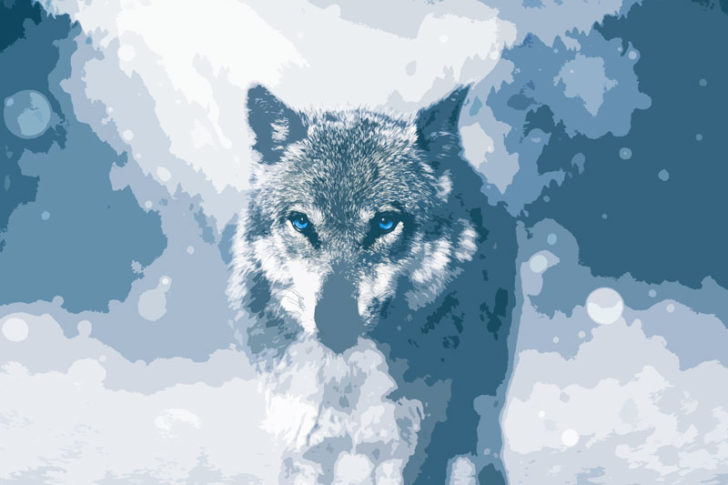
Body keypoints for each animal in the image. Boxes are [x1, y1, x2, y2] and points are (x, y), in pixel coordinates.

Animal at [228, 84, 518, 484]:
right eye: (301, 222)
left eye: (385, 223)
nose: (333, 321)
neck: (348, 377)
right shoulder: (304, 451)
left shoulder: (411, 456)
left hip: (481, 409)